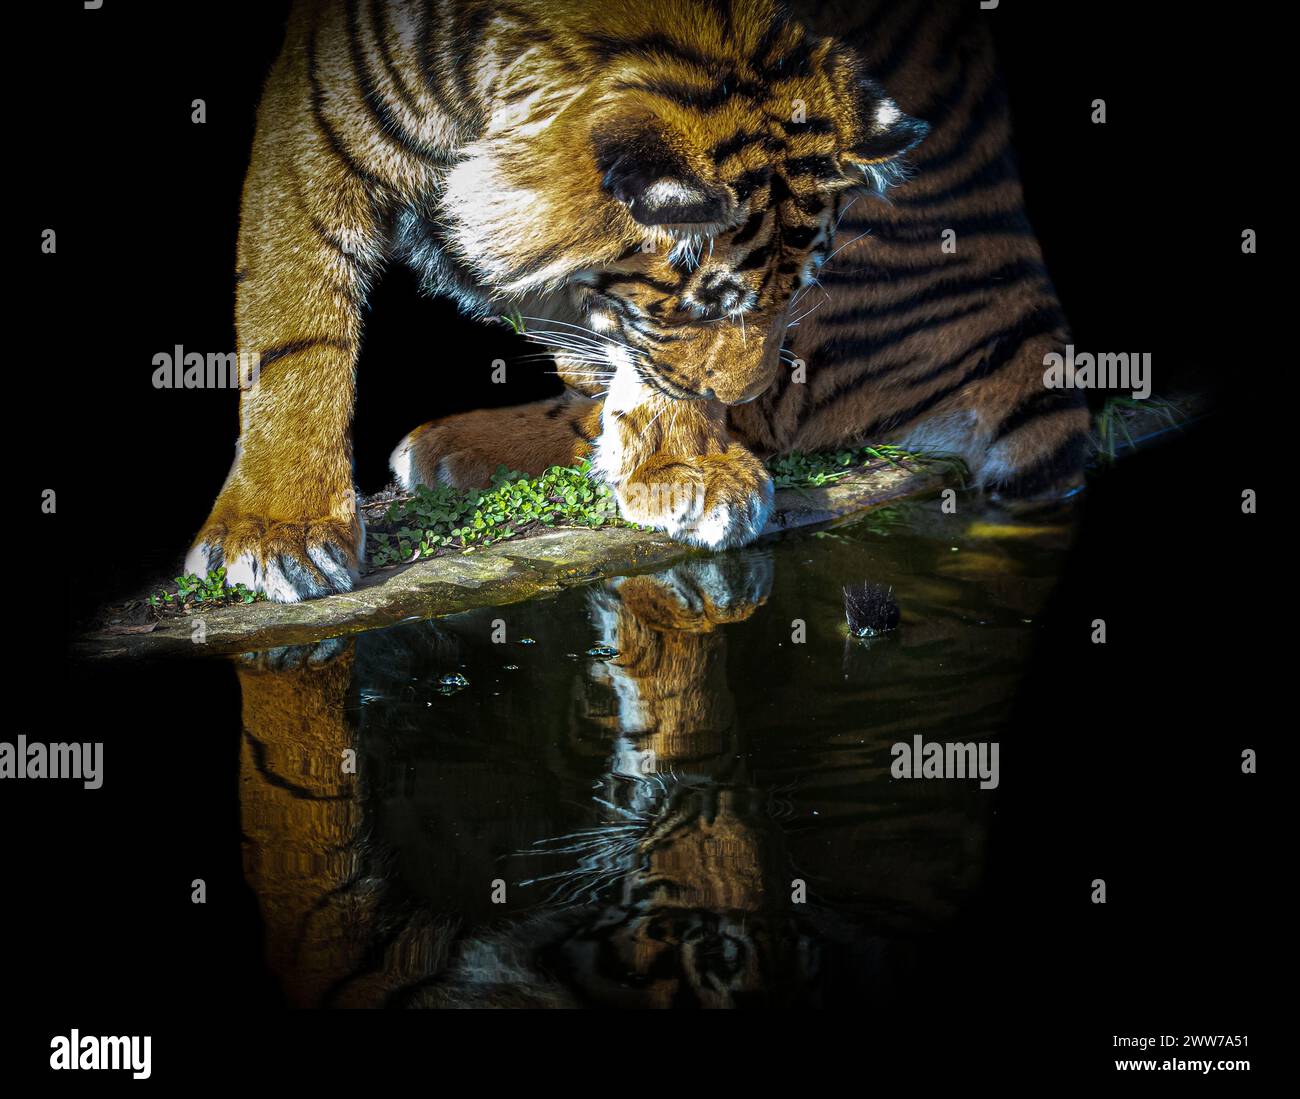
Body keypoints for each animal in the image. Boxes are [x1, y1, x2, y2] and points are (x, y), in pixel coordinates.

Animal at [189, 0, 1087, 602]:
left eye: (792, 292)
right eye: (709, 301)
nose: (740, 390)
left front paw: (683, 467)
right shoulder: (316, 111)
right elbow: (294, 329)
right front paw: (278, 533)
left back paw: (451, 445)